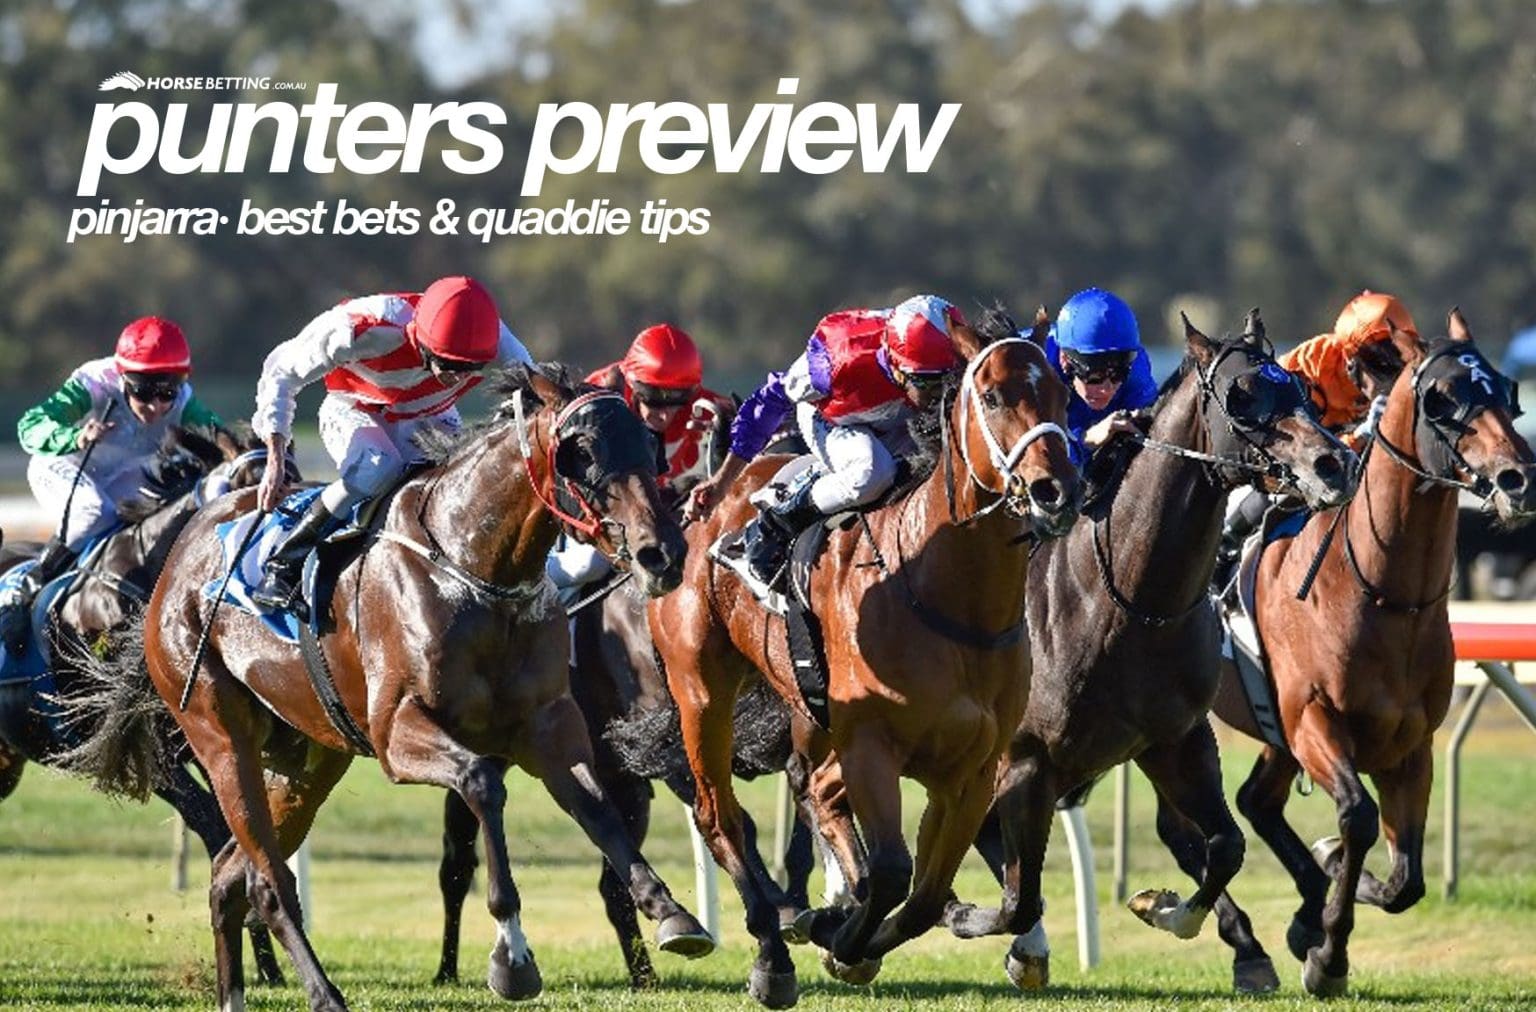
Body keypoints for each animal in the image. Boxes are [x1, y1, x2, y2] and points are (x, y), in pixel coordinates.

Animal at [1, 424, 294, 984]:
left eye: (294, 473)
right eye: (249, 481)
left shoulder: (205, 743)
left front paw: (268, 965)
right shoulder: (148, 752)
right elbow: (214, 825)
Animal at [109, 366, 710, 1012]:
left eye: (650, 445)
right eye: (582, 453)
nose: (663, 553)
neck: (474, 572)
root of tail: (178, 558)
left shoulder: (550, 724)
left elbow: (598, 811)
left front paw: (674, 914)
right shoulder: (398, 733)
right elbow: (482, 784)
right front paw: (512, 957)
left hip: (308, 758)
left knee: (229, 873)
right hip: (221, 736)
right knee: (267, 879)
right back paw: (326, 994)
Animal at [650, 307, 1082, 1008]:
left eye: (1063, 399)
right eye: (992, 396)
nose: (1055, 491)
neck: (948, 596)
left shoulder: (972, 768)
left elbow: (933, 895)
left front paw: (857, 931)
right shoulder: (873, 745)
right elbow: (892, 872)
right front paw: (839, 936)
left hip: (809, 707)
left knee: (815, 788)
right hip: (702, 689)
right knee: (721, 816)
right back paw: (771, 953)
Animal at [941, 312, 1358, 992]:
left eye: (1300, 389)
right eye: (1242, 396)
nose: (1335, 464)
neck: (1125, 604)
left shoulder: (1175, 741)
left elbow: (1223, 845)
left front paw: (1171, 912)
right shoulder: (1027, 762)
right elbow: (1015, 894)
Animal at [1209, 309, 1535, 996]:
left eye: (1505, 390)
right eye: (1443, 398)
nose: (1519, 479)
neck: (1383, 595)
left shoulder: (1409, 745)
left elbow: (1407, 880)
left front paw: (1329, 895)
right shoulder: (1314, 721)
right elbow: (1357, 819)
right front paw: (1328, 954)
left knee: (1253, 803)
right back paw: (1243, 939)